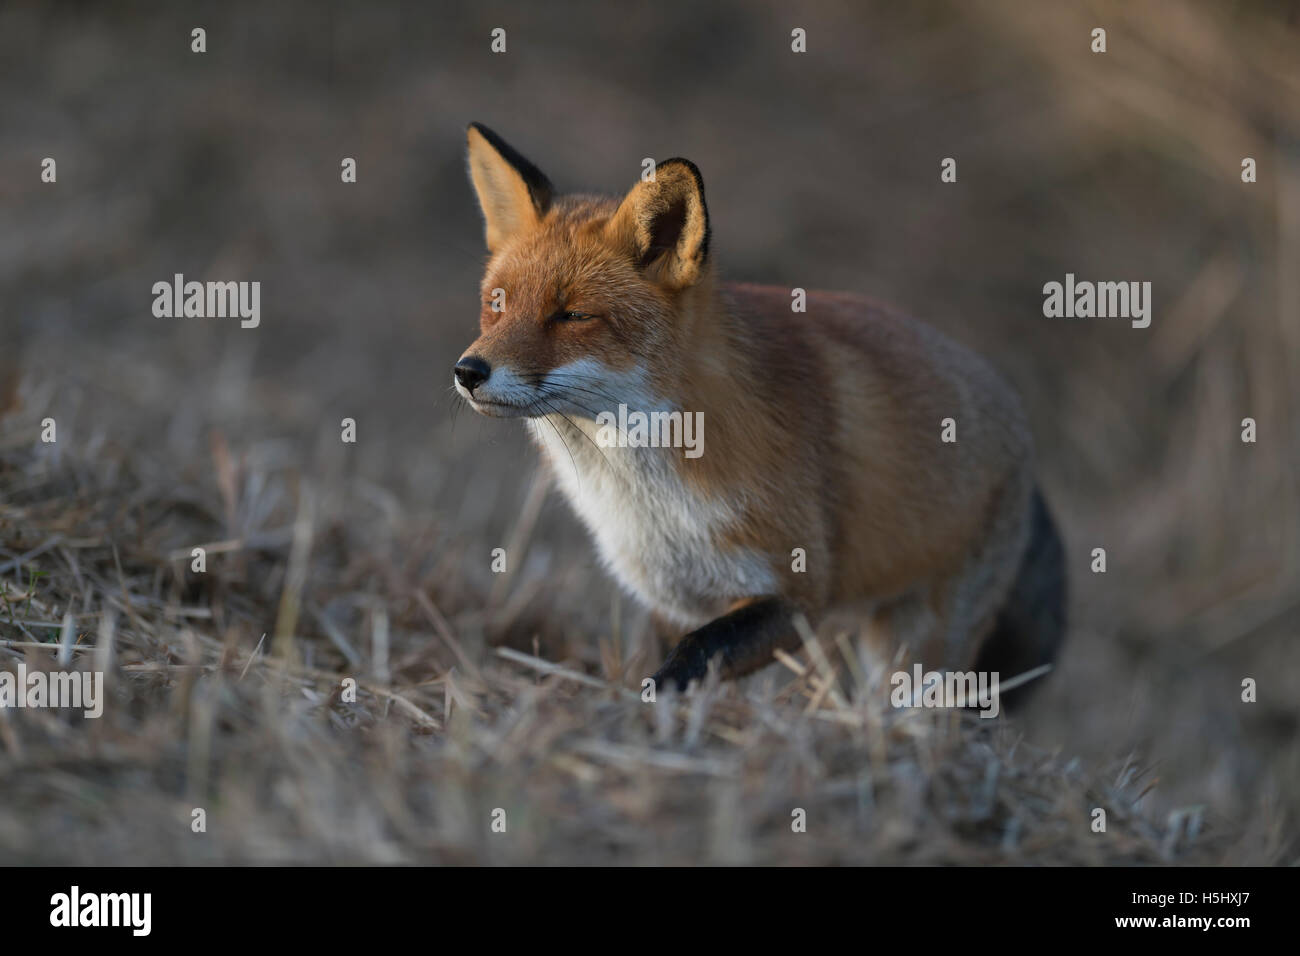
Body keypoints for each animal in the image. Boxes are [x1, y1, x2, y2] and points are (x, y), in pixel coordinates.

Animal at [454, 122, 1066, 700]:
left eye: (573, 315)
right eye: (496, 304)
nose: (468, 371)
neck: (656, 502)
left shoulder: (796, 595)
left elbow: (695, 653)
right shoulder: (669, 596)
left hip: (916, 648)